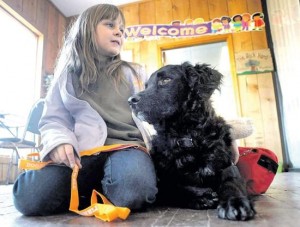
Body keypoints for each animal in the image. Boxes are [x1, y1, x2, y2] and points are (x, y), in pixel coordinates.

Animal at [128, 61, 255, 220]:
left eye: (165, 80)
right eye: (146, 86)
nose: (130, 101)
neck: (187, 136)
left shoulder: (227, 167)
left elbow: (231, 183)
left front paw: (235, 202)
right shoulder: (161, 182)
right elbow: (174, 187)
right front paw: (200, 197)